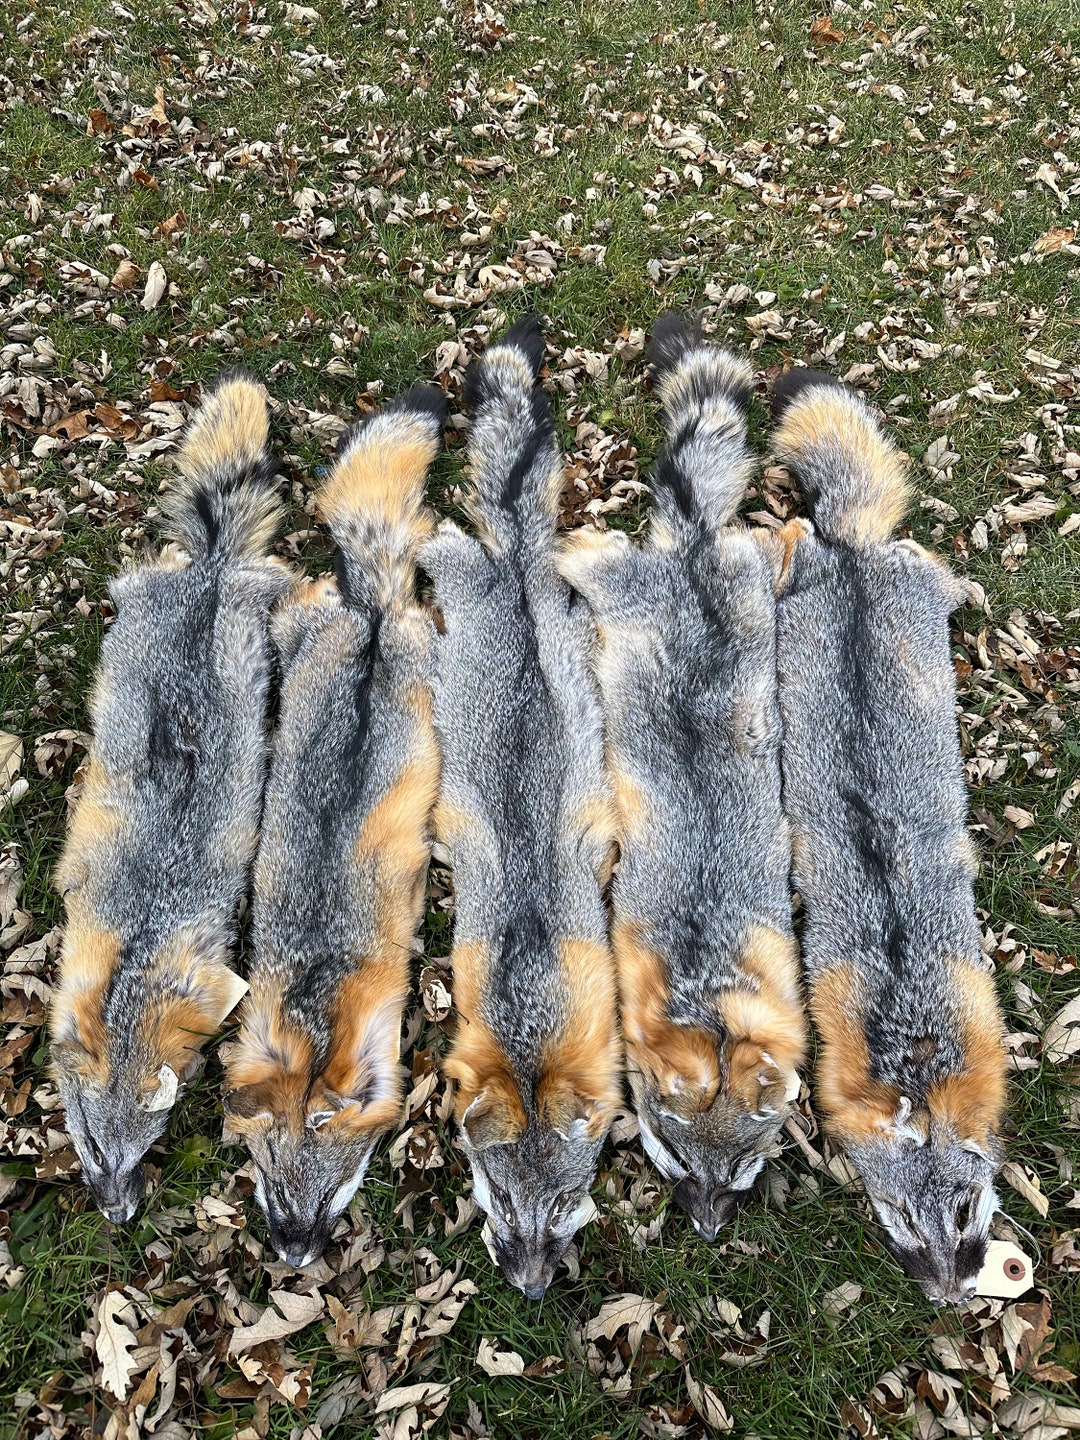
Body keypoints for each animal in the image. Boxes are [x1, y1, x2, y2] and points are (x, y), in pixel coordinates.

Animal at [557, 316, 806, 1240]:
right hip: (614, 583)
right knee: (592, 551)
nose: (704, 1230)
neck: (713, 1005)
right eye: (676, 1162)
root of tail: (693, 550)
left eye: (737, 1174)